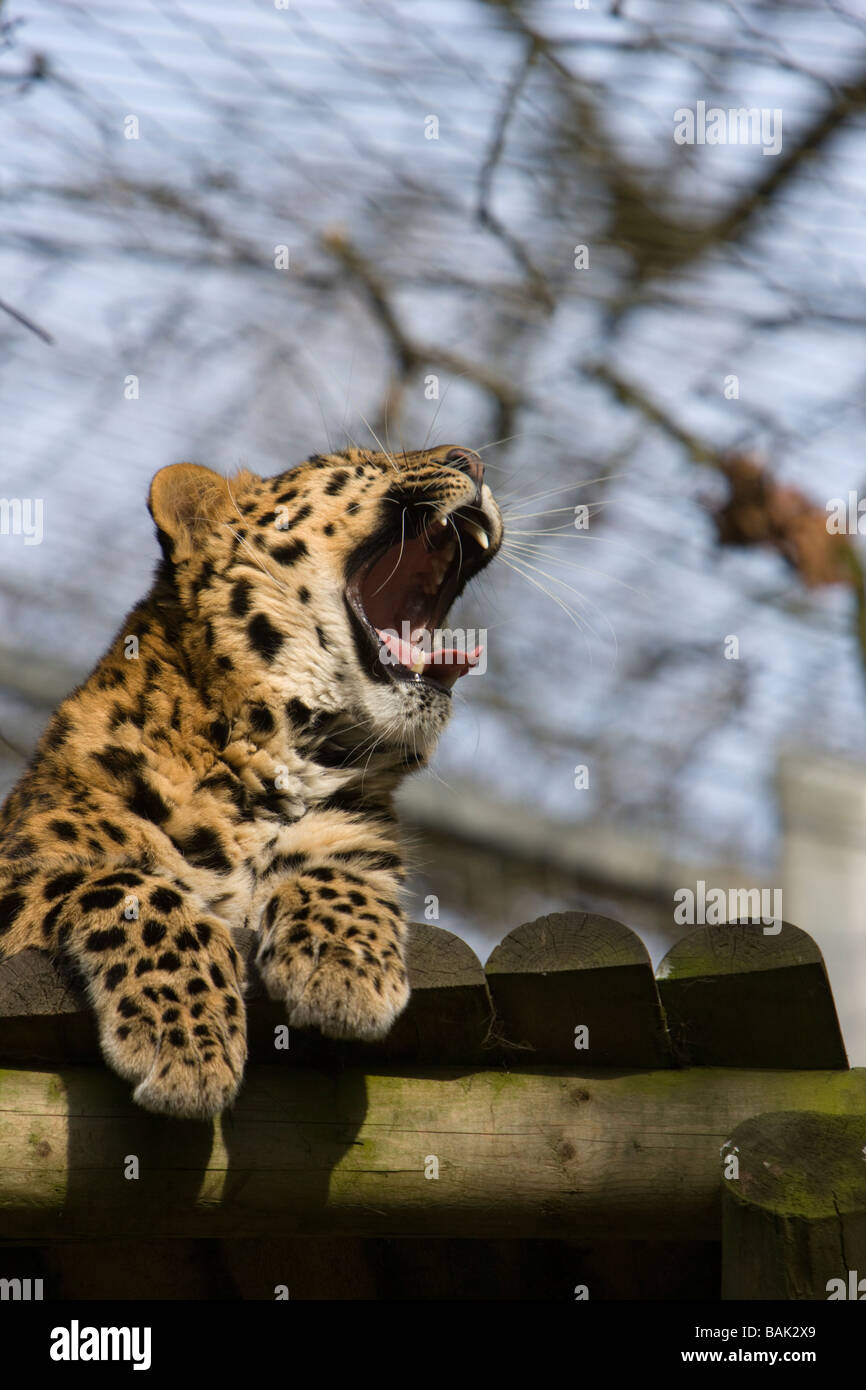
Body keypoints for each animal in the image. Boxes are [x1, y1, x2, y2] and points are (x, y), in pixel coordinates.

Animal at [0, 445, 502, 1119]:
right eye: (362, 462)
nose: (472, 460)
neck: (277, 764)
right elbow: (130, 886)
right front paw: (188, 1042)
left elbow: (343, 870)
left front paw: (347, 966)